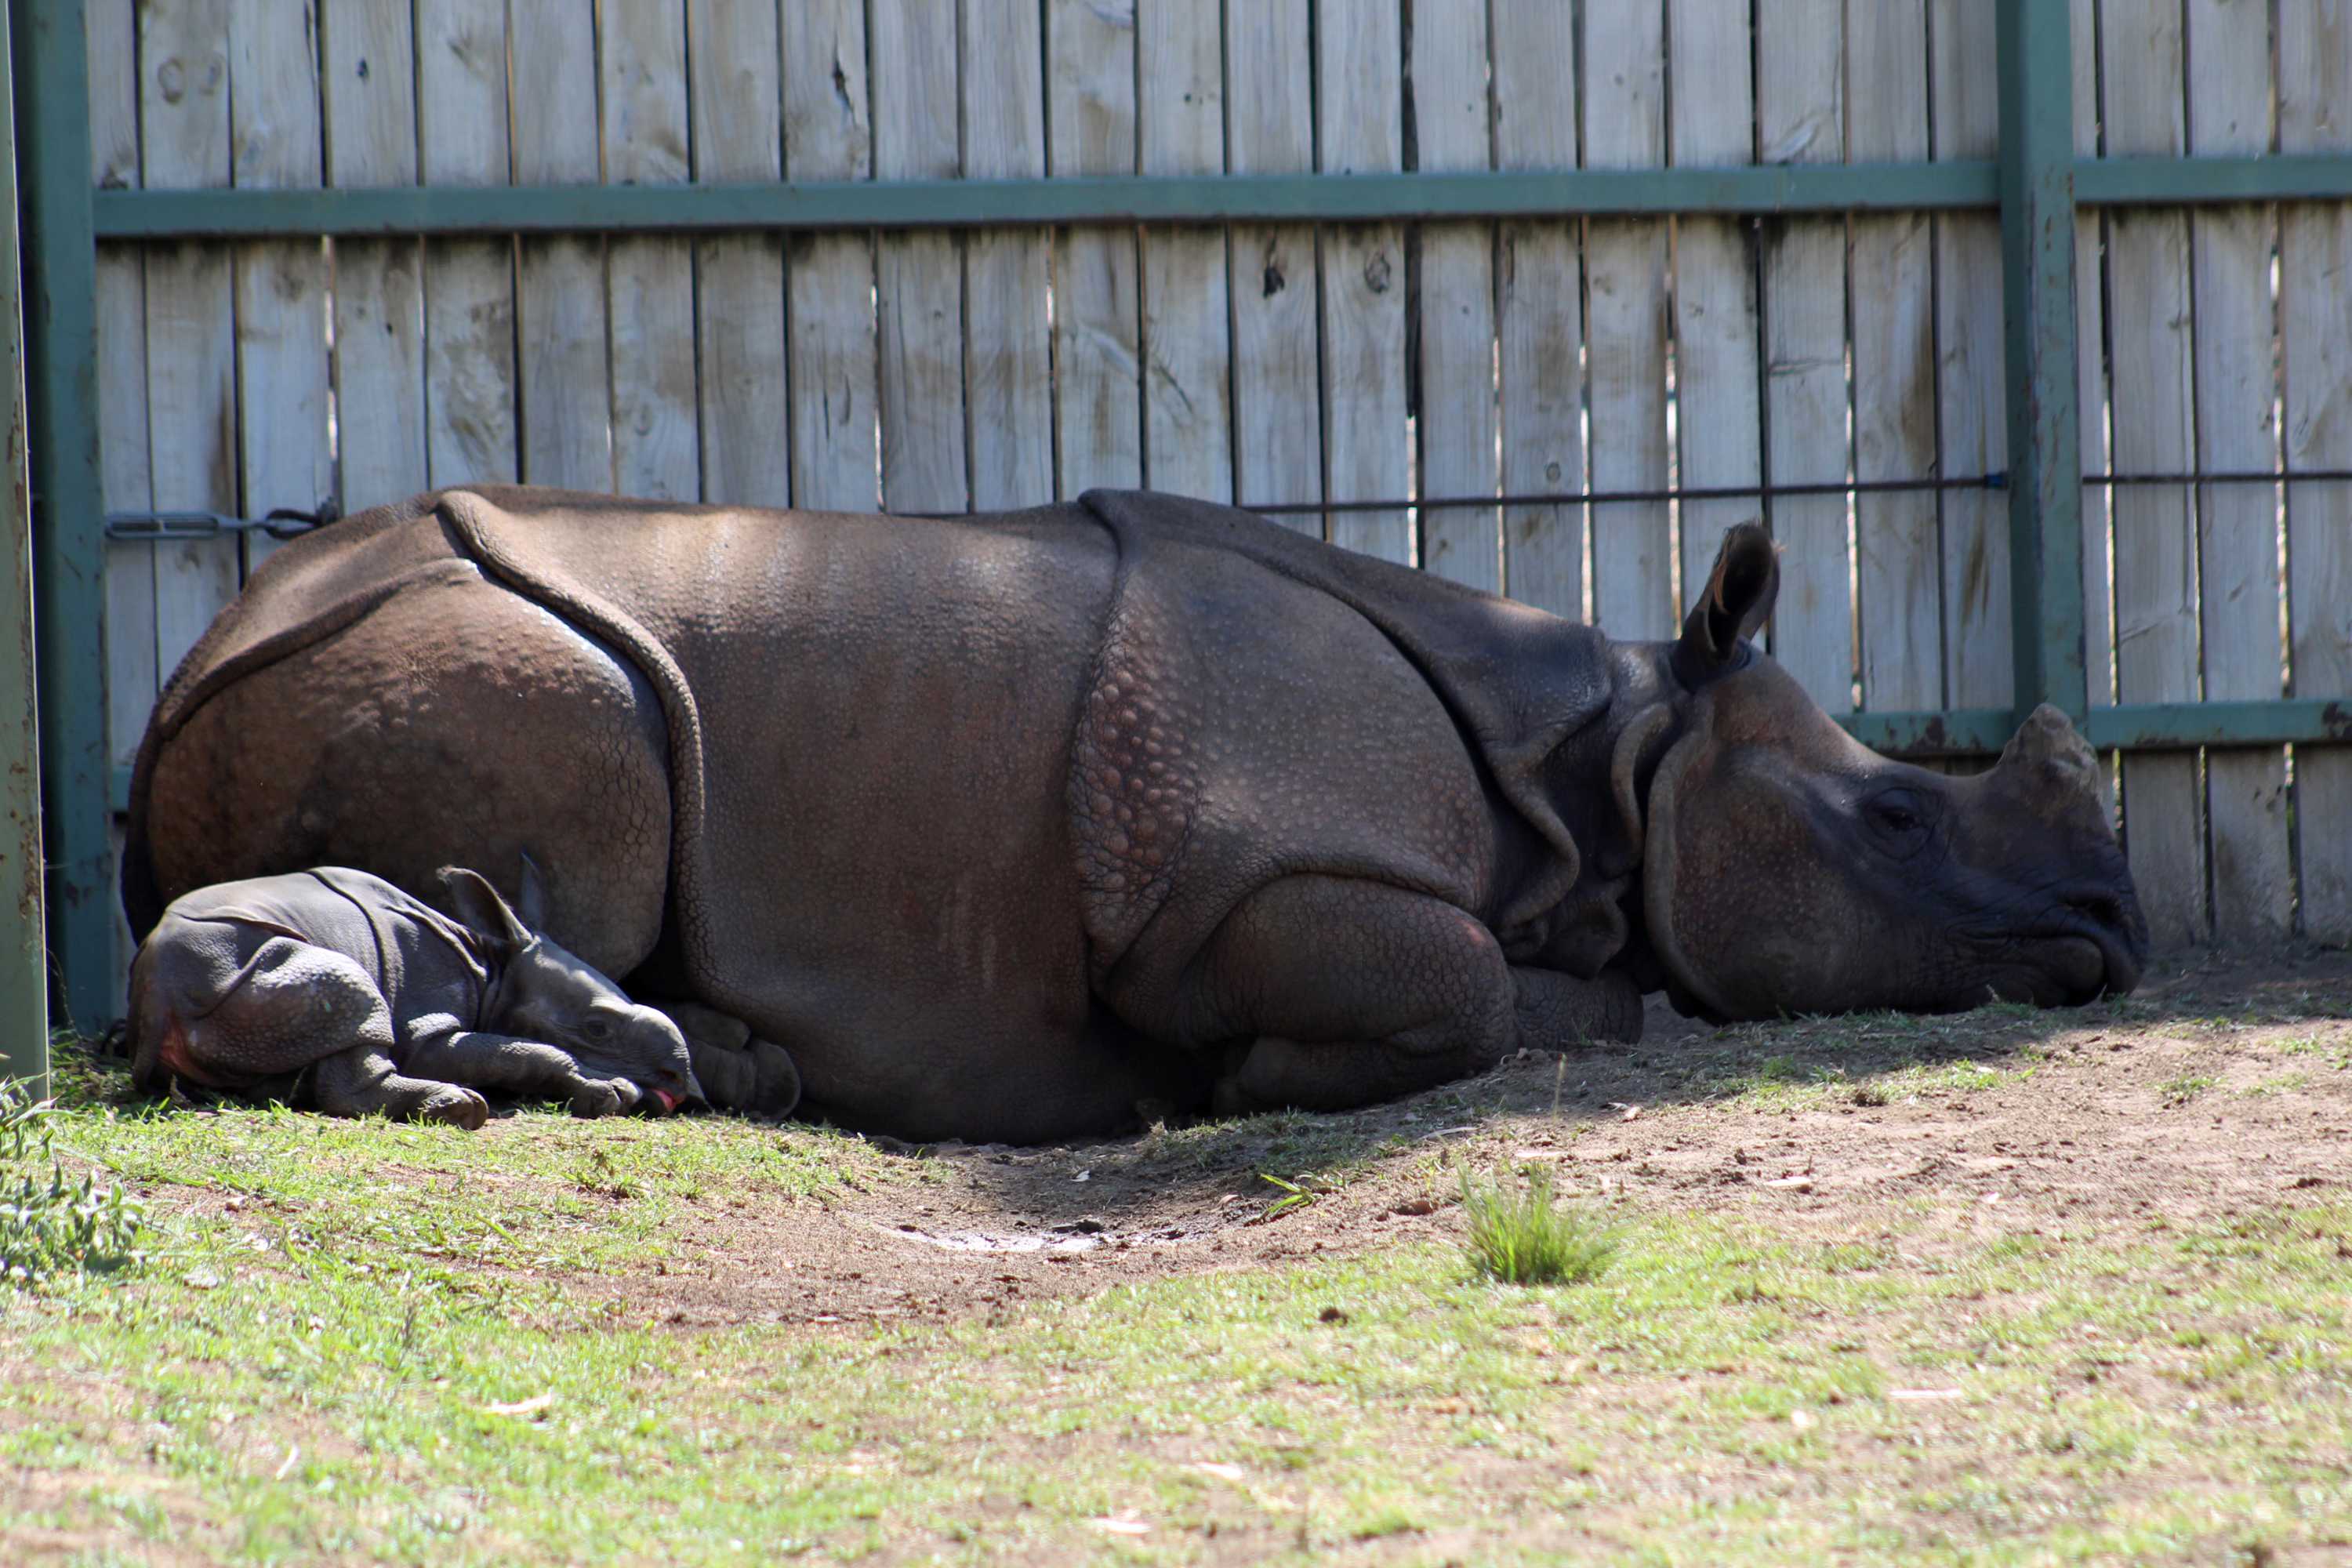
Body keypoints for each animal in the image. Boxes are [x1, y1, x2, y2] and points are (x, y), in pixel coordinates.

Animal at [128, 860, 703, 1126]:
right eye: (597, 1028)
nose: (680, 1080)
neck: (492, 966)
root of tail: (154, 993)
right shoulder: (427, 1022)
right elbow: (519, 1050)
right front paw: (610, 1093)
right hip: (239, 962)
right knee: (350, 996)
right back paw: (461, 1109)